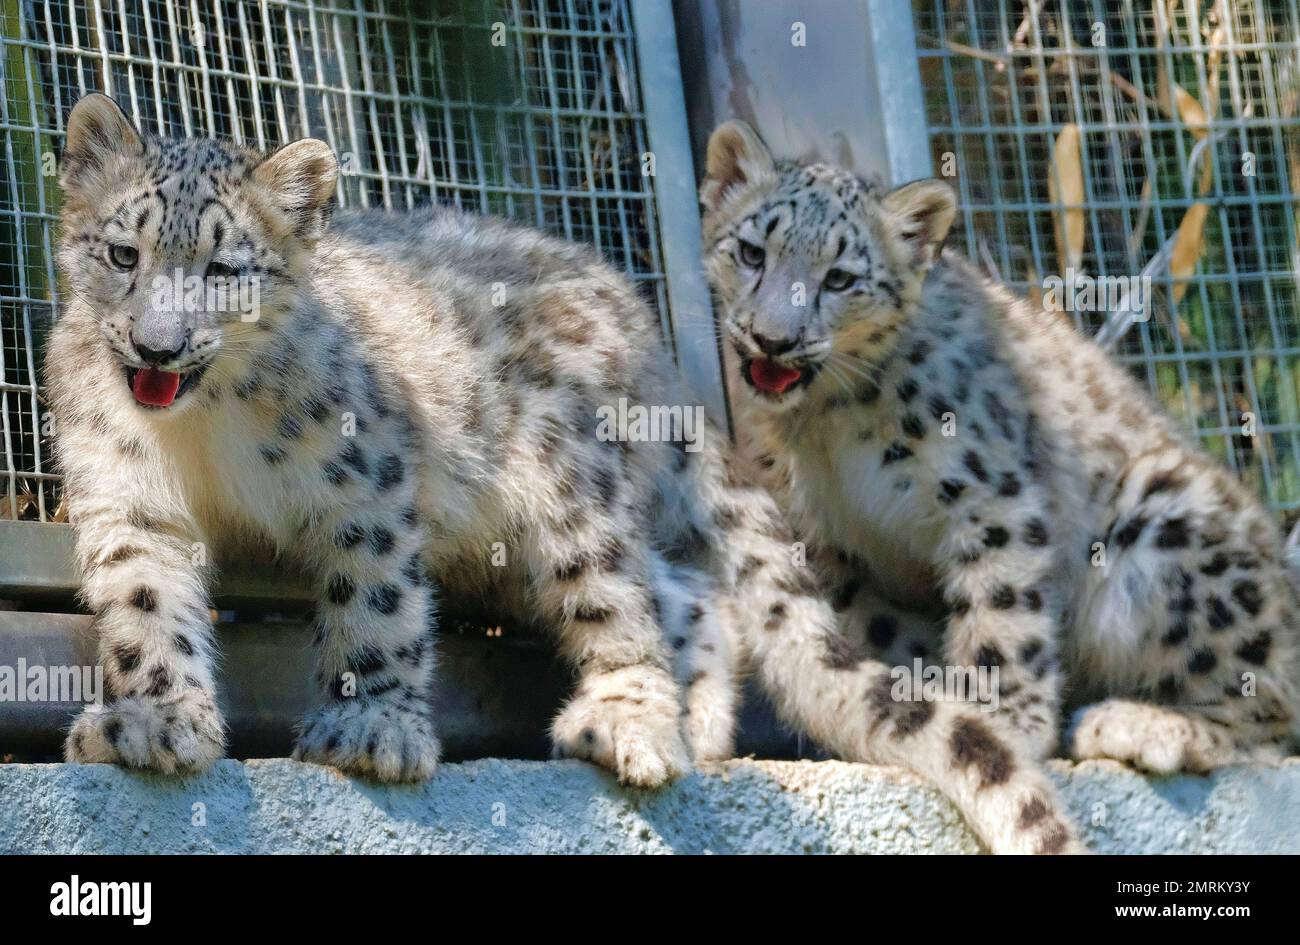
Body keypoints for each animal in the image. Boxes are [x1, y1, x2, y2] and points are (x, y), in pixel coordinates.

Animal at [699, 119, 1300, 789]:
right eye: (753, 252)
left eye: (840, 278)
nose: (774, 339)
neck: (826, 426)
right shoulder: (827, 544)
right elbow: (888, 629)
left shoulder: (988, 493)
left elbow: (1002, 610)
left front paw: (1004, 721)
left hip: (1167, 523)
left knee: (1270, 707)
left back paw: (1139, 725)